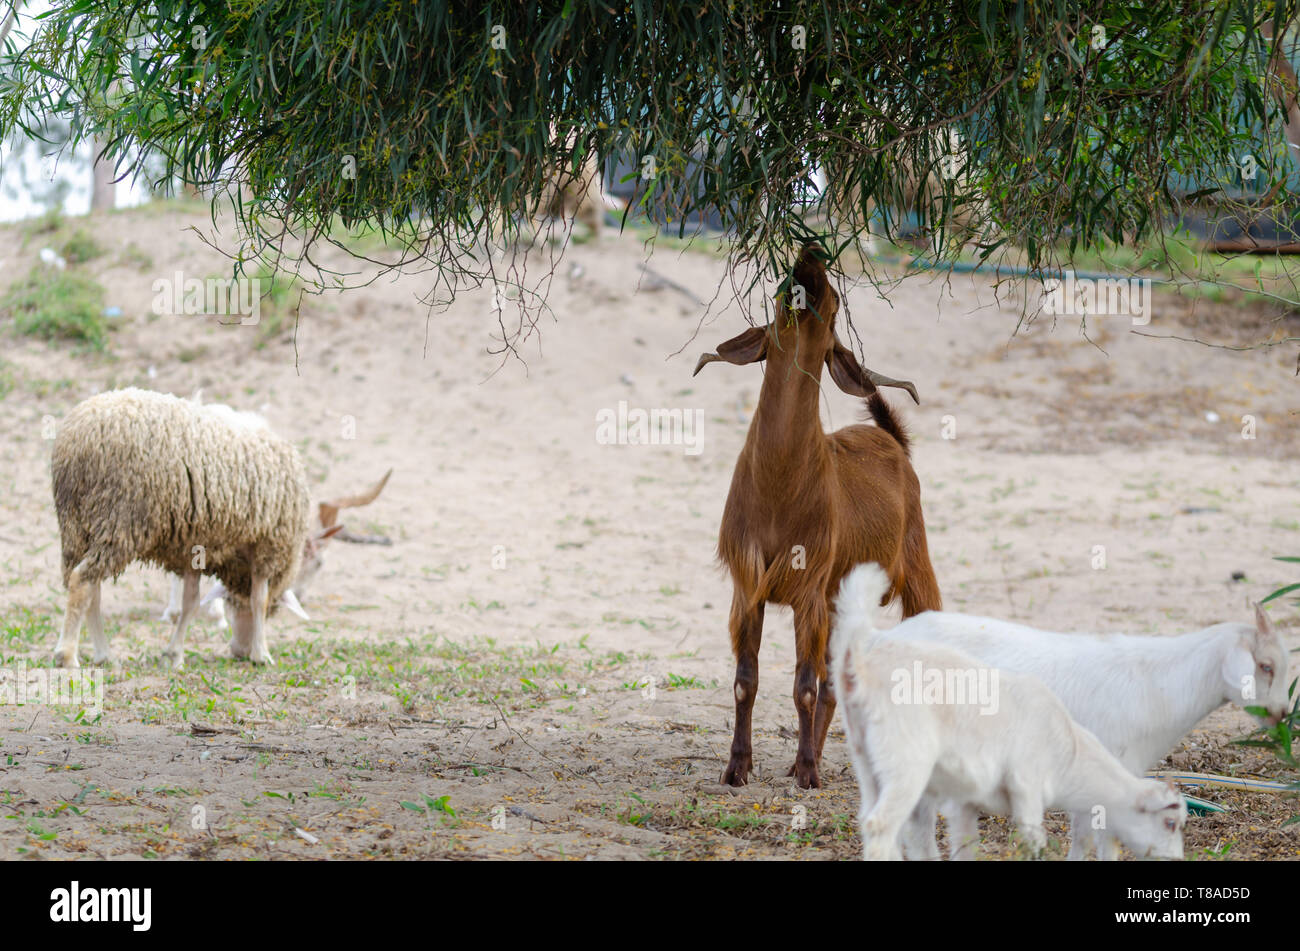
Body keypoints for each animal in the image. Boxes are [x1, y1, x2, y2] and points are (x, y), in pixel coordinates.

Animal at [693, 244, 941, 789]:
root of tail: (894, 442)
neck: (779, 491)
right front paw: (737, 767)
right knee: (836, 680)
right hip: (838, 600)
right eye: (783, 286)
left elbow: (804, 685)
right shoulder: (750, 587)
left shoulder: (808, 590)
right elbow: (746, 681)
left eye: (836, 296)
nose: (810, 252)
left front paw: (807, 772)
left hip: (914, 568)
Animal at [832, 563, 1188, 861]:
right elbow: (1034, 844)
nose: (1176, 859)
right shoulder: (1027, 786)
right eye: (1170, 823)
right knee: (881, 826)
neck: (1070, 755)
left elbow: (966, 847)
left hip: (867, 759)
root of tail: (861, 666)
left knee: (874, 822)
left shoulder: (966, 801)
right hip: (905, 760)